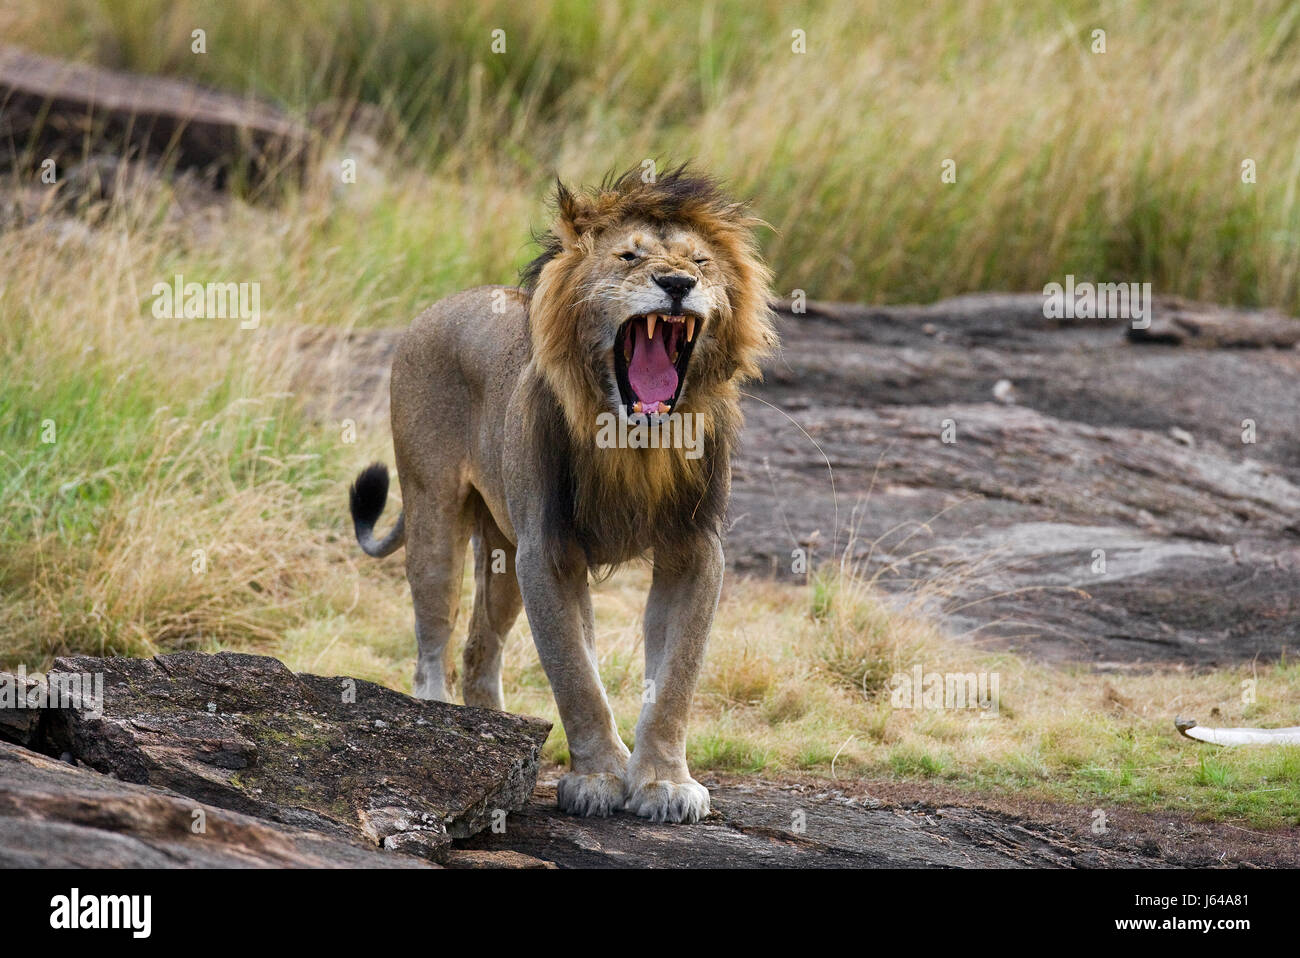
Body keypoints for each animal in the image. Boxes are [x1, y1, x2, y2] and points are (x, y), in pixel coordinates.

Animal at [348, 165, 775, 823]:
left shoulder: (694, 550)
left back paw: (491, 735)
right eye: (628, 256)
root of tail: (441, 305)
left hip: (500, 551)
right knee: (433, 634)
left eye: (701, 261)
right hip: (433, 512)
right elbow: (577, 674)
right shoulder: (548, 552)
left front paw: (663, 782)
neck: (632, 445)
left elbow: (674, 680)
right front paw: (598, 776)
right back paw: (438, 720)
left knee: (480, 650)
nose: (677, 283)